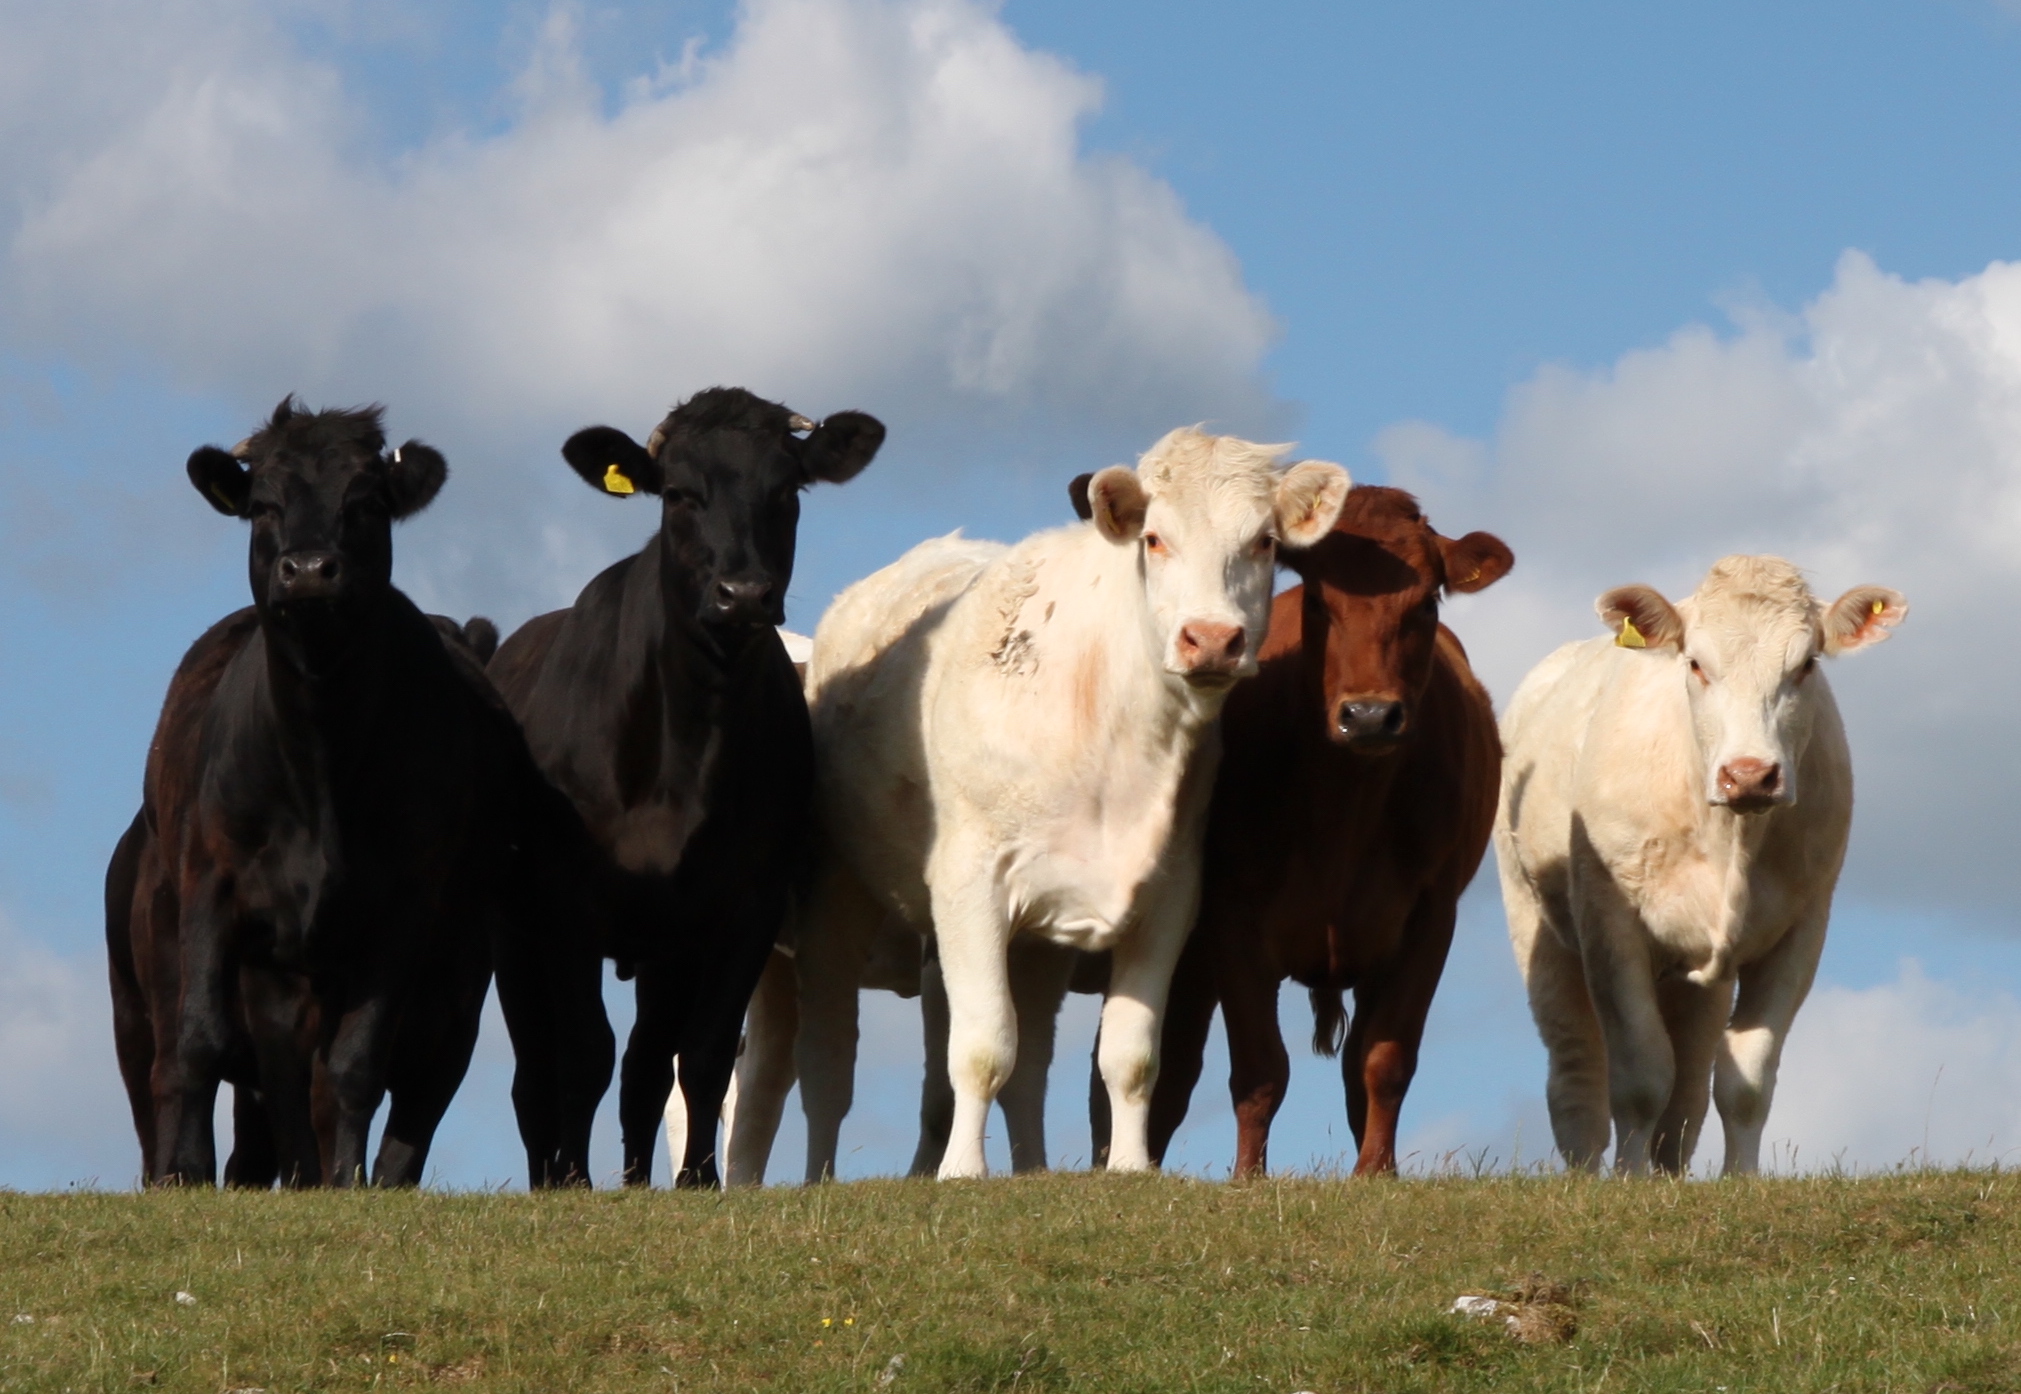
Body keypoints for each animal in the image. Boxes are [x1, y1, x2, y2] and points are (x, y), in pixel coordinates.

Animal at [110, 398, 577, 1187]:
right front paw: (192, 1177)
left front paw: (348, 1184)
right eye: (263, 505)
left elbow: (355, 1068)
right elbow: (201, 1041)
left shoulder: (403, 915)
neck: (318, 763)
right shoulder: (216, 888)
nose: (307, 571)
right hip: (149, 998)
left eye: (364, 504)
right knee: (175, 1076)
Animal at [489, 387, 884, 1187]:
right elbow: (585, 1052)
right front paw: (575, 1181)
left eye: (788, 490)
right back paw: (552, 1174)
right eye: (677, 493)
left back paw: (639, 1178)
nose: (743, 594)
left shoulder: (742, 906)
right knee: (535, 1070)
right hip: (514, 936)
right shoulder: (566, 904)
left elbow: (698, 1056)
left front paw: (698, 1179)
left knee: (646, 1064)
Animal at [728, 427, 1350, 1181]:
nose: (1210, 639)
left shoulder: (1168, 900)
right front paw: (962, 1173)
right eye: (1153, 538)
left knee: (1027, 1069)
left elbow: (1128, 1057)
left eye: (1263, 542)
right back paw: (819, 1177)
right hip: (832, 905)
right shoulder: (968, 887)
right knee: (817, 1069)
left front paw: (1129, 1167)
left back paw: (1030, 1168)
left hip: (1040, 934)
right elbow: (981, 1047)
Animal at [1496, 555, 1907, 1175]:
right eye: (1695, 662)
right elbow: (1641, 1074)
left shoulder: (1803, 927)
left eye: (1806, 664)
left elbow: (1745, 1079)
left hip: (1698, 978)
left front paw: (1741, 1180)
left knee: (1687, 1089)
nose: (1750, 774)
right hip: (1534, 922)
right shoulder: (1609, 924)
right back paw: (1588, 1172)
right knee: (1576, 1074)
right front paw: (1628, 1180)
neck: (1731, 838)